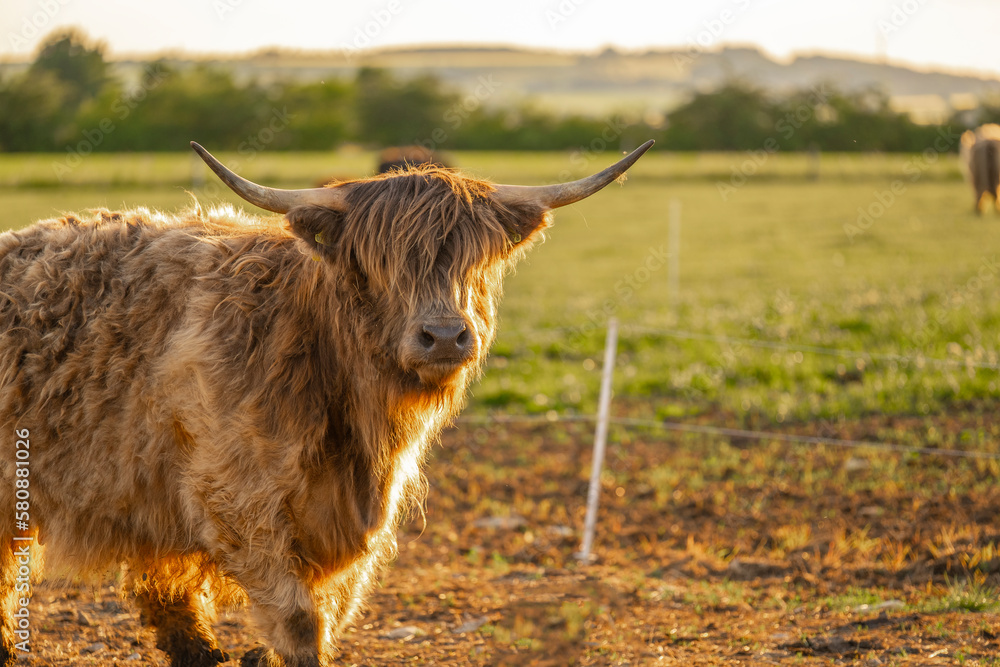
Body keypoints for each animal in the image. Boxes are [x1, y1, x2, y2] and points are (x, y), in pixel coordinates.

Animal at [0, 139, 653, 667]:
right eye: (379, 263)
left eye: (475, 258)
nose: (444, 336)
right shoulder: (236, 497)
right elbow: (298, 621)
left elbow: (328, 610)